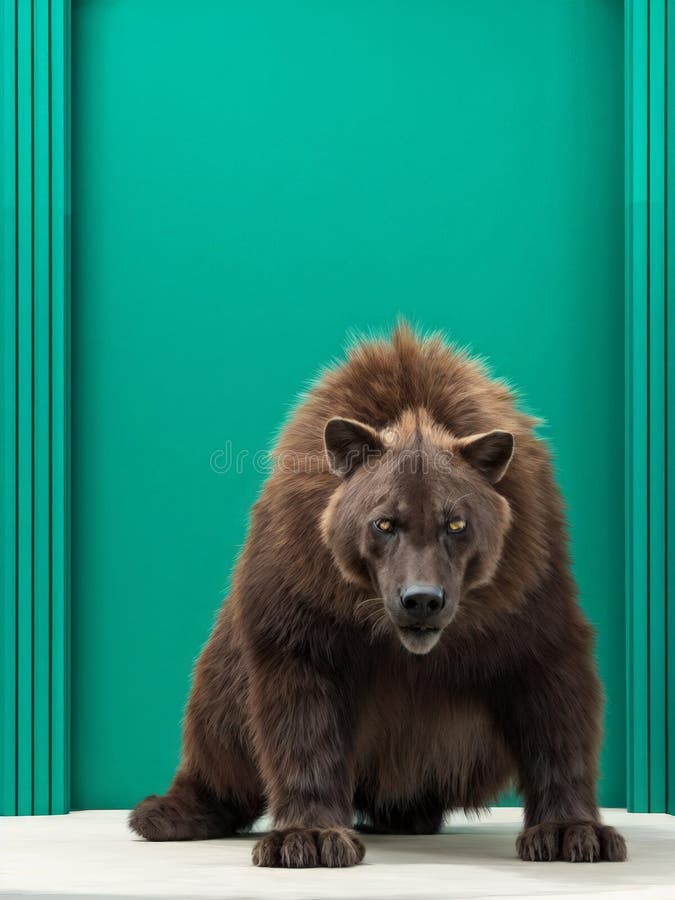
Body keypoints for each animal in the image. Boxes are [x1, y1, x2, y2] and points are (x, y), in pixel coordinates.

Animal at [129, 324, 627, 867]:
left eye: (456, 523)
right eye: (384, 522)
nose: (422, 599)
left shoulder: (530, 610)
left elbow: (558, 727)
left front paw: (572, 832)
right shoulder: (301, 625)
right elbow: (304, 734)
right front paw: (308, 837)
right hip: (220, 682)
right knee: (216, 741)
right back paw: (164, 814)